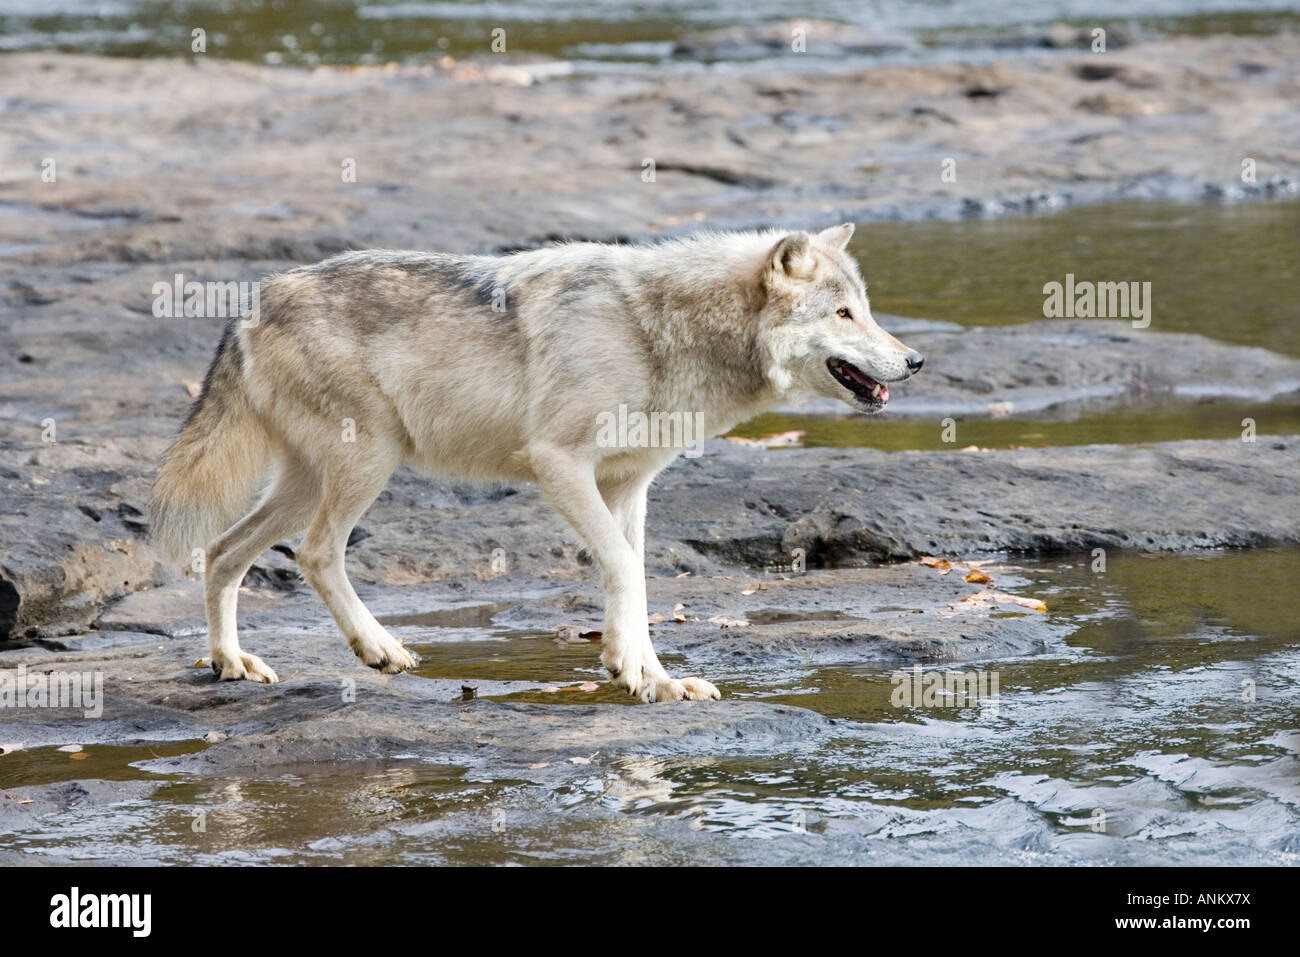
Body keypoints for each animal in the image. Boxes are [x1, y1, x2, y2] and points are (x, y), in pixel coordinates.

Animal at [150, 224, 923, 702]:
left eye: (868, 309)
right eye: (844, 314)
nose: (916, 360)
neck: (661, 330)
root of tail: (252, 301)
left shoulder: (628, 483)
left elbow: (632, 577)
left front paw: (649, 677)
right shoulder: (559, 463)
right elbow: (626, 570)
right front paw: (637, 674)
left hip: (308, 482)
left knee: (221, 552)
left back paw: (230, 663)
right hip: (367, 463)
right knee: (313, 553)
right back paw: (379, 649)